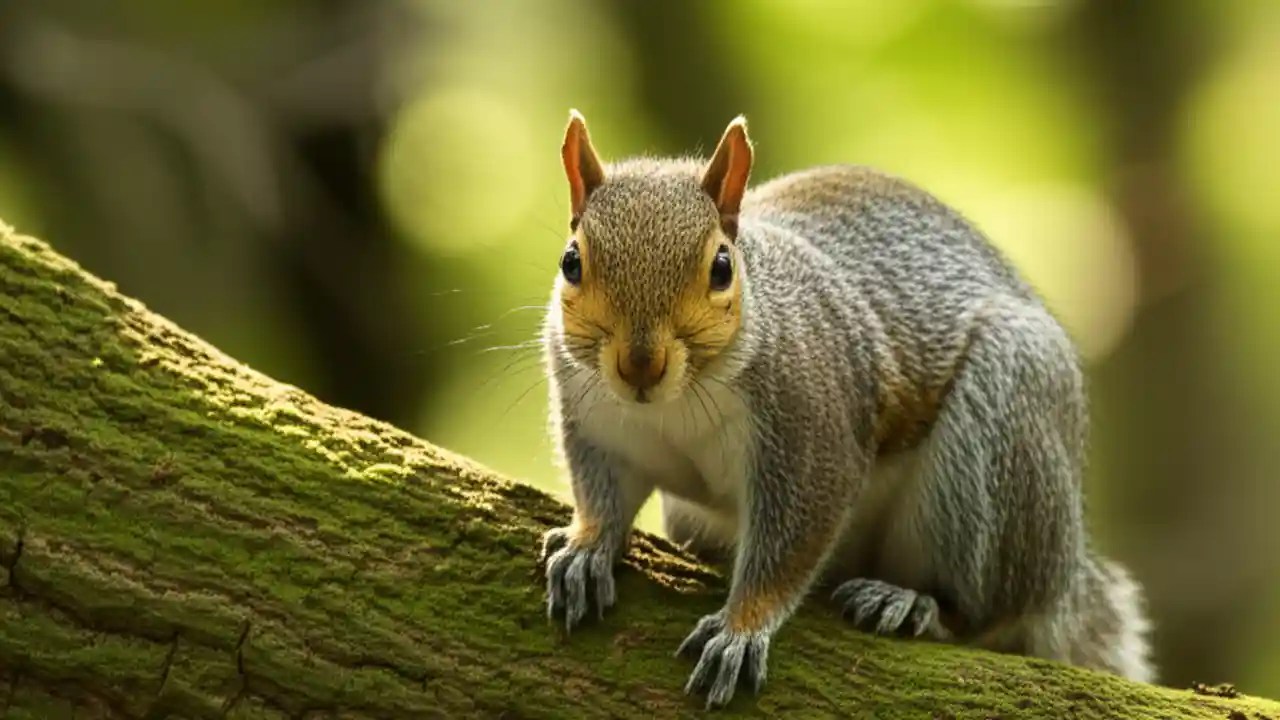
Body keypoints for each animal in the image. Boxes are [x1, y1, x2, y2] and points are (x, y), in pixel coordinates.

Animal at [538, 110, 1154, 708]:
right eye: (571, 262)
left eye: (721, 268)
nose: (640, 366)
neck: (675, 402)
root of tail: (1064, 575)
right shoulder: (599, 425)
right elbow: (601, 493)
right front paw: (587, 548)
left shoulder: (813, 430)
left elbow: (789, 547)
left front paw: (742, 629)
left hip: (999, 440)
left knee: (987, 611)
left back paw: (914, 604)